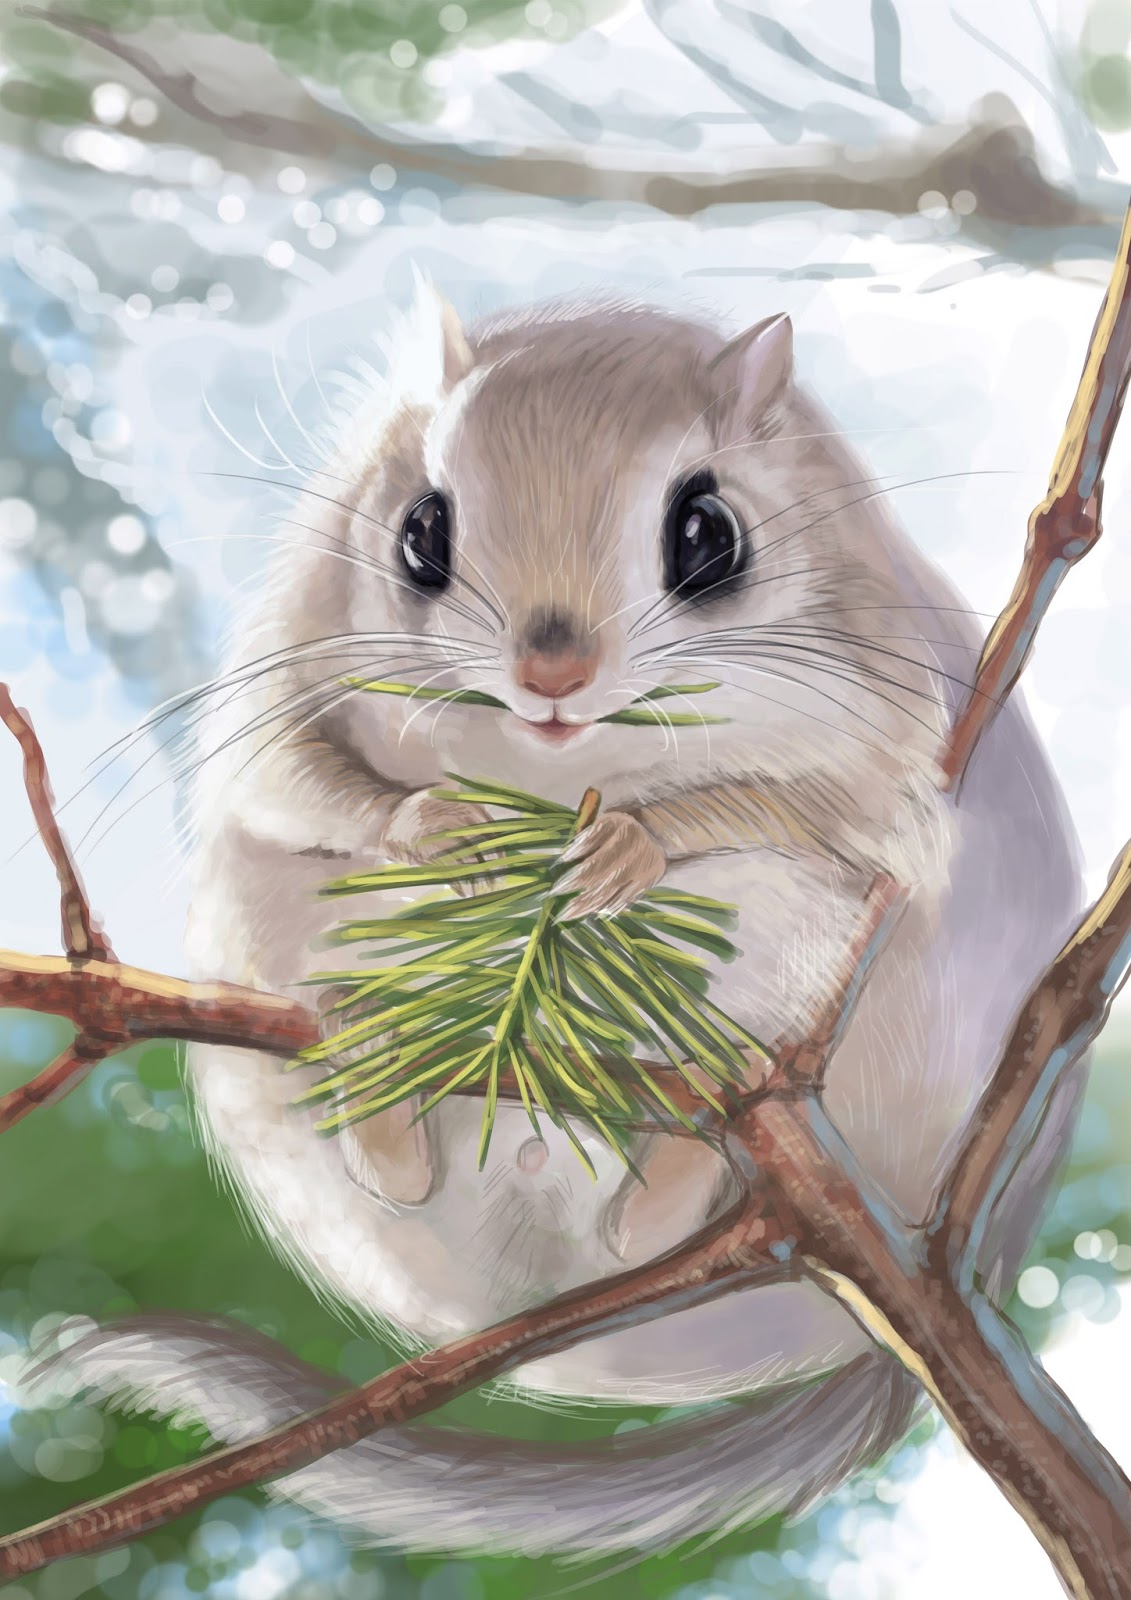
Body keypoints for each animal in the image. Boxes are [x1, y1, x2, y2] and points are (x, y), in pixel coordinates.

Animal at [46, 285, 1085, 1555]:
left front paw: (627, 848)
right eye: (421, 530)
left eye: (709, 535)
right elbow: (303, 782)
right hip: (270, 919)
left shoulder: (888, 741)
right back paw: (386, 1116)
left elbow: (807, 815)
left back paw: (677, 1172)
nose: (553, 672)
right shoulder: (280, 677)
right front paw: (441, 826)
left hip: (800, 957)